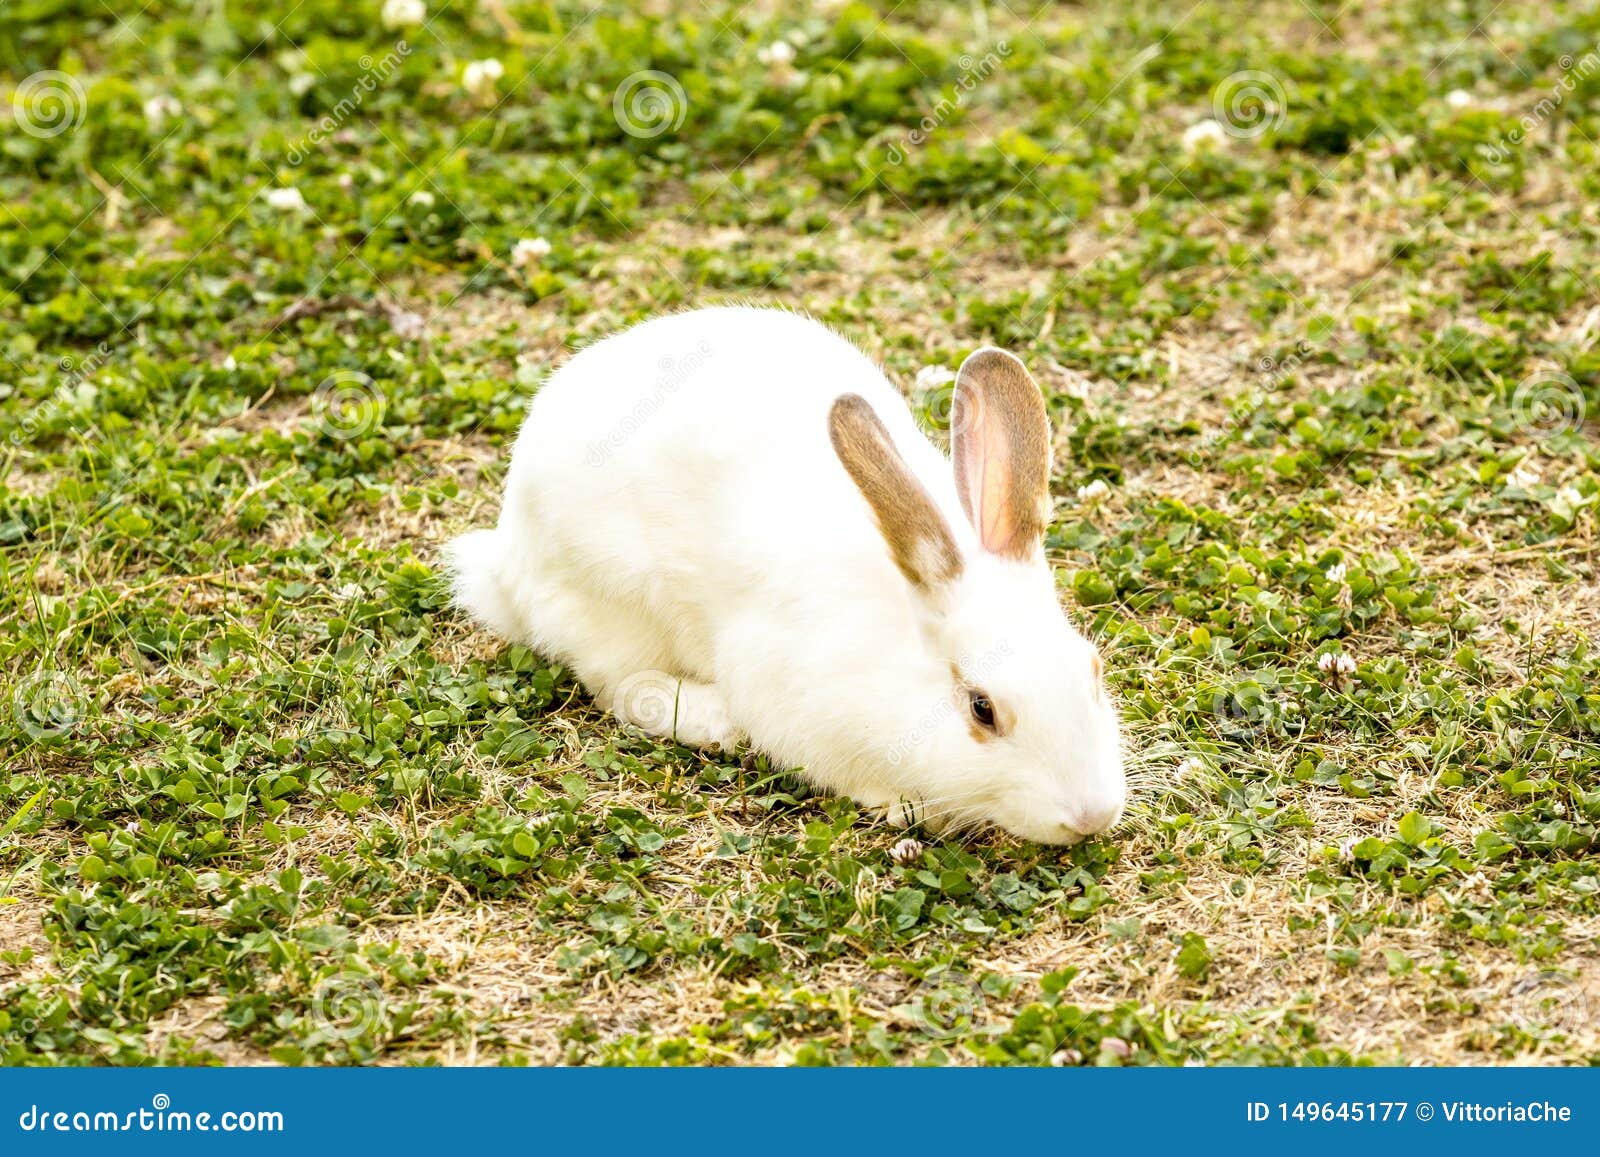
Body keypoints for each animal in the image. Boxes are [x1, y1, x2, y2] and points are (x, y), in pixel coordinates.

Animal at [446, 306, 1125, 845]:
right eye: (982, 709)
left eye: (1092, 670)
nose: (1089, 816)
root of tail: (505, 557)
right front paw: (907, 808)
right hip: (614, 598)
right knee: (624, 688)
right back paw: (716, 721)